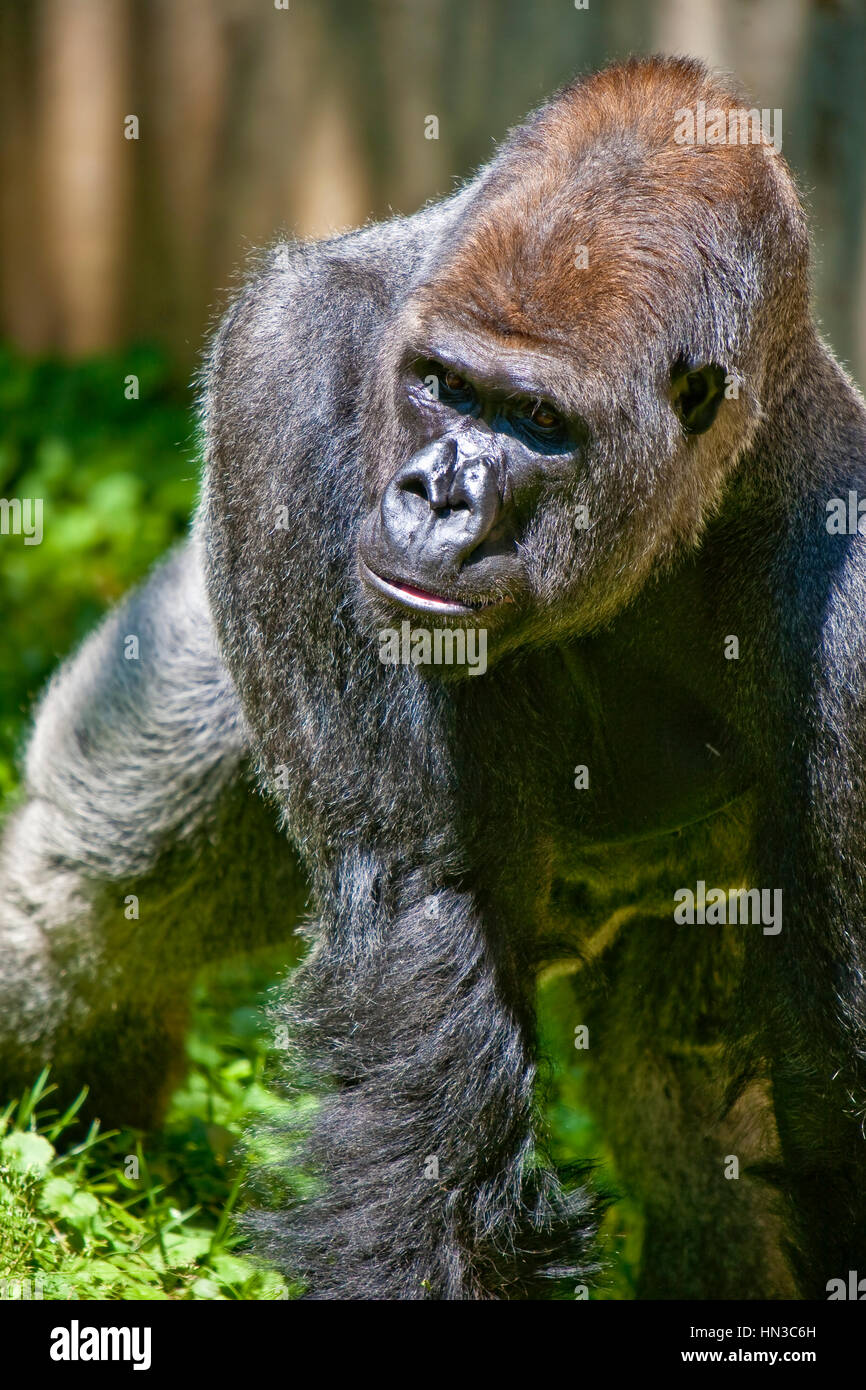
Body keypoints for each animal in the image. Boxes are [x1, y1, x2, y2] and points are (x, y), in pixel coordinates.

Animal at [2, 54, 865, 1300]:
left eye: (538, 421)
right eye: (444, 386)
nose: (434, 494)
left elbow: (829, 1065)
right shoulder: (288, 373)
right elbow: (418, 916)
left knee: (696, 1114)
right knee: (92, 886)